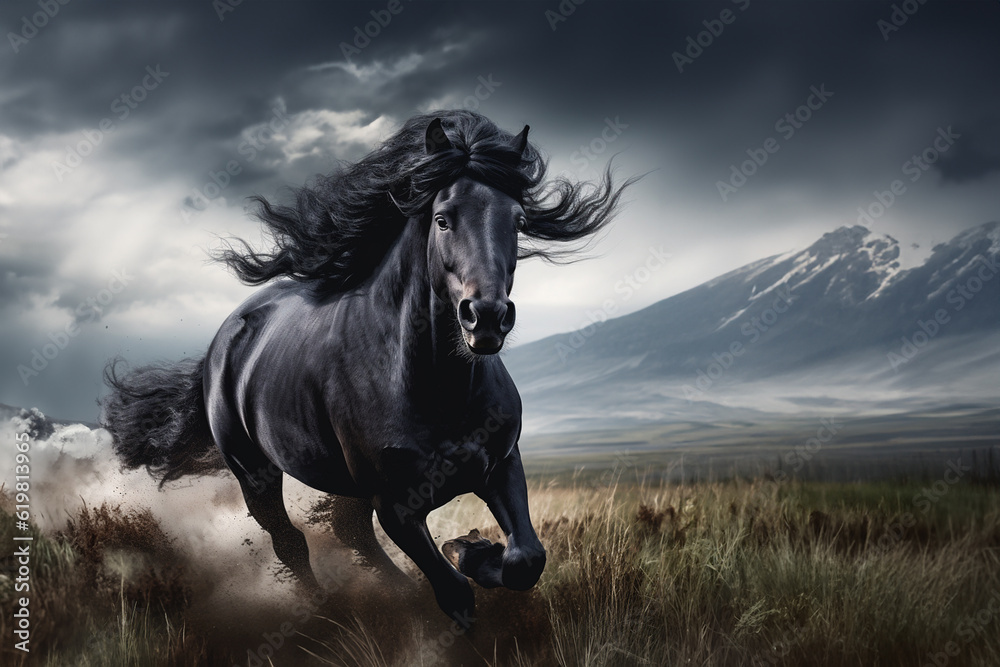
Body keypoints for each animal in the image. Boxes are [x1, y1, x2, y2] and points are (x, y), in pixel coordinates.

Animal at [101, 110, 635, 627]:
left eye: (518, 220)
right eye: (442, 219)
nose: (485, 317)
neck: (433, 387)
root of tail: (224, 341)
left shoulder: (501, 464)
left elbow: (525, 559)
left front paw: (471, 548)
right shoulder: (396, 505)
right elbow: (455, 595)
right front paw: (462, 557)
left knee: (352, 534)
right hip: (253, 472)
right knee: (291, 542)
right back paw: (330, 613)